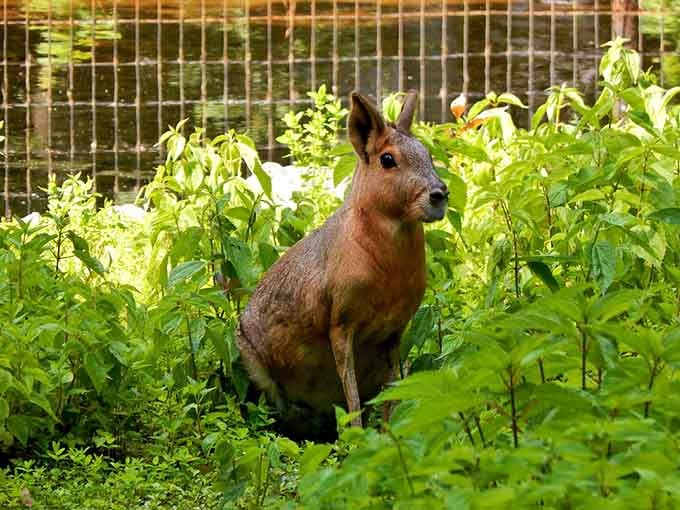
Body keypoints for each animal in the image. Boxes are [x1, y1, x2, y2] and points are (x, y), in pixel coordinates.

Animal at [236, 90, 448, 438]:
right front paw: (359, 438)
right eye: (387, 160)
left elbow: (392, 392)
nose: (440, 194)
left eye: (427, 154)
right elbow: (351, 394)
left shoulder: (394, 332)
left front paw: (387, 436)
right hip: (253, 365)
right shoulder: (341, 324)